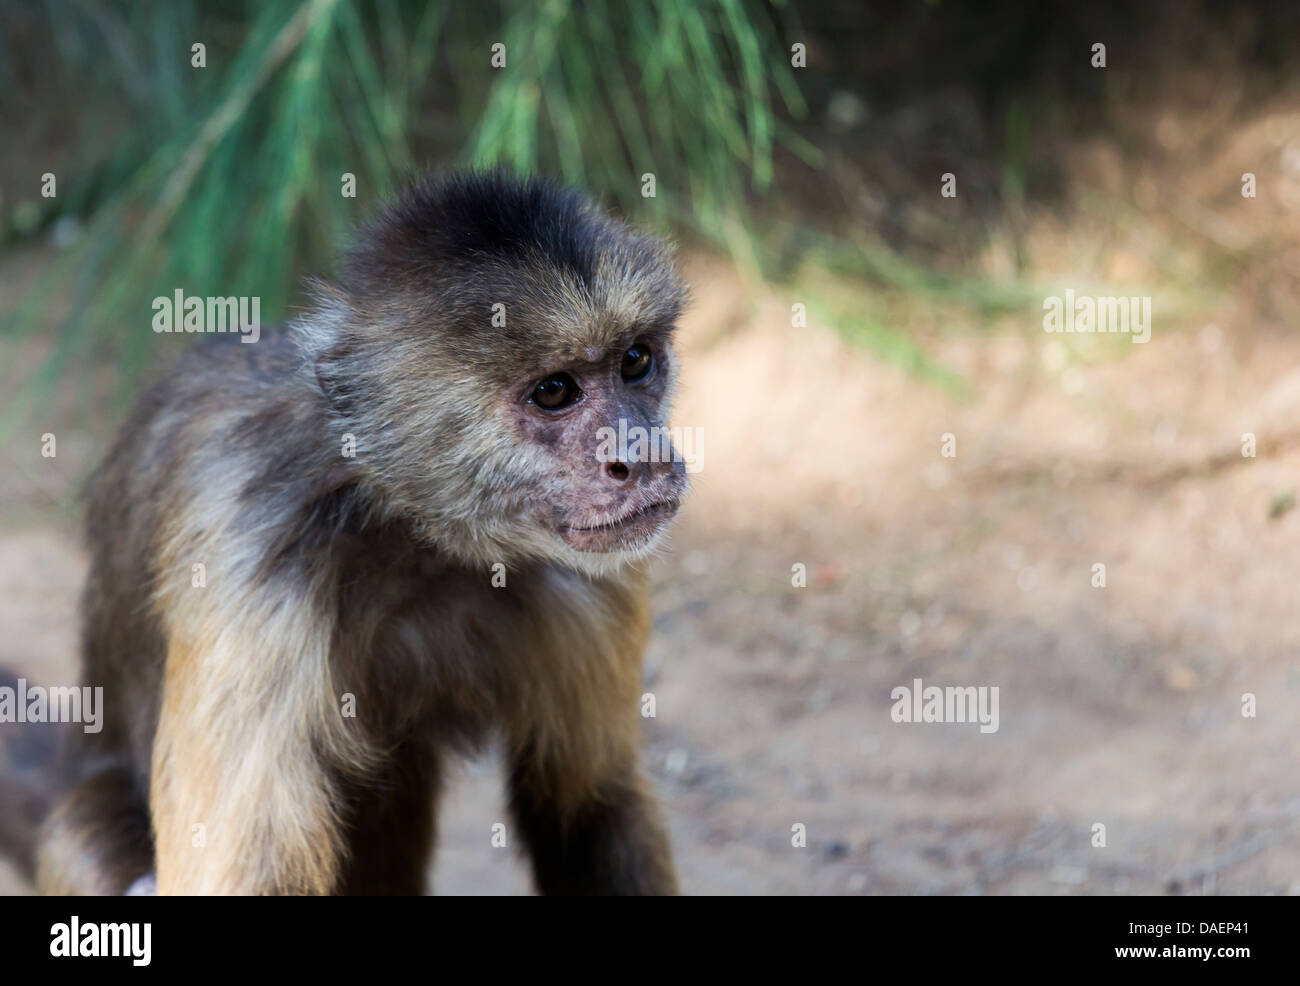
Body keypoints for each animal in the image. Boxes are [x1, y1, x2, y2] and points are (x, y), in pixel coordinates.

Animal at [12, 171, 689, 895]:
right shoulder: (252, 558)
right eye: (555, 391)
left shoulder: (590, 572)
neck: (418, 536)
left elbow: (591, 802)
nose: (641, 455)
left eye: (636, 360)